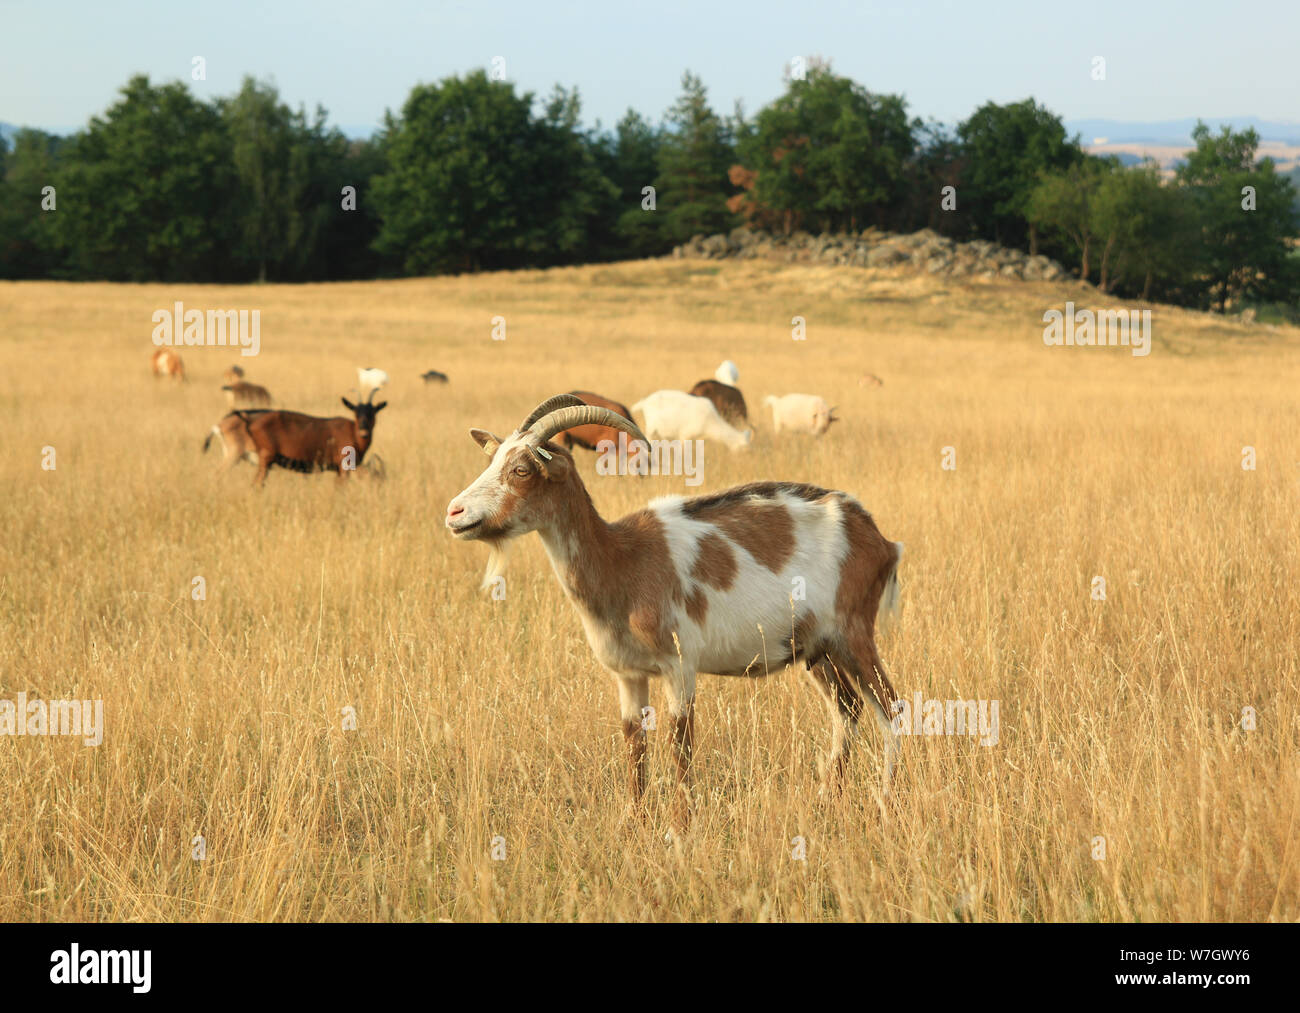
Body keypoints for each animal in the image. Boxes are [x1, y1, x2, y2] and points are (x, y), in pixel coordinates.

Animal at [238, 390, 387, 487]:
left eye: (373, 412)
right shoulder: (344, 467)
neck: (352, 431)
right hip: (266, 459)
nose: (364, 432)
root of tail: (251, 421)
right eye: (356, 412)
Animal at [445, 395, 903, 826]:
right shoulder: (629, 675)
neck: (622, 560)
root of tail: (878, 536)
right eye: (492, 460)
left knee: (891, 708)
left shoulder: (680, 666)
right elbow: (635, 743)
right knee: (848, 709)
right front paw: (635, 821)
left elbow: (680, 745)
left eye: (522, 469)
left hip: (854, 633)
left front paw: (681, 830)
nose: (455, 512)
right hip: (815, 649)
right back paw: (828, 799)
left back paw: (884, 804)